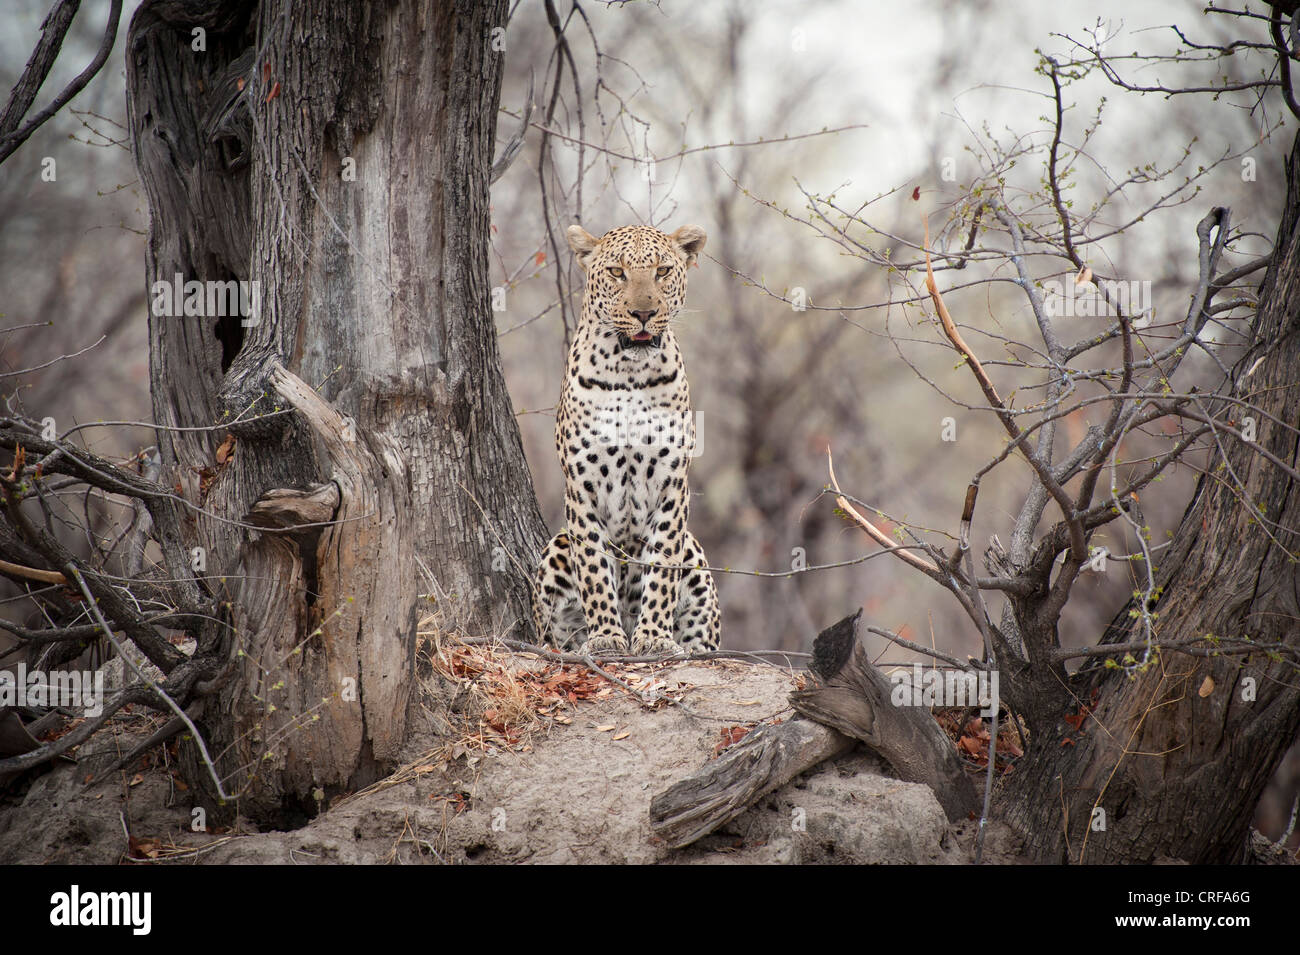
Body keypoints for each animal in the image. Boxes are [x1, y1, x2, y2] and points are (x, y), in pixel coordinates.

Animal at [532, 223, 720, 656]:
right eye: (617, 272)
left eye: (663, 271)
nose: (643, 313)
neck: (629, 374)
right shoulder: (581, 487)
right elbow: (594, 569)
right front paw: (606, 637)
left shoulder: (673, 484)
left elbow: (662, 565)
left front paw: (654, 637)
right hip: (557, 546)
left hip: (697, 558)